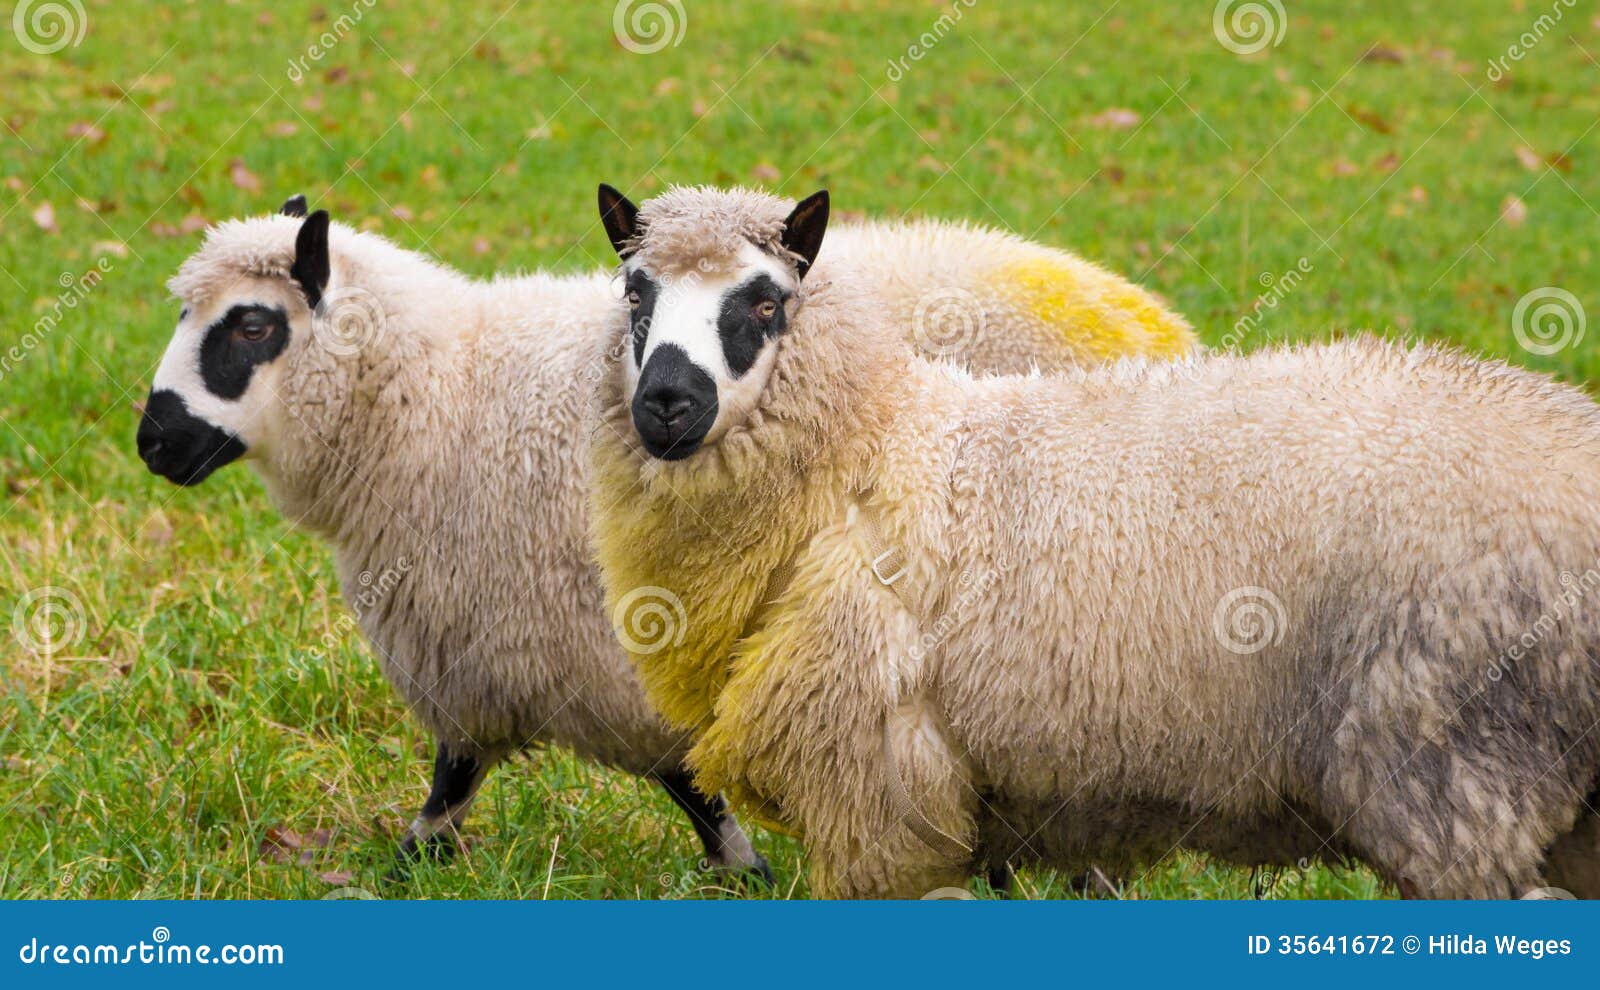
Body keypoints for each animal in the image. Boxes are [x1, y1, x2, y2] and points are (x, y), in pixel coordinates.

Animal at [135, 191, 1194, 884]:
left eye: (252, 326)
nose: (152, 442)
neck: (434, 394)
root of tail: (1157, 331)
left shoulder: (540, 639)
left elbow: (483, 775)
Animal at [588, 184, 1600, 899]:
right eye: (637, 293)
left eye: (764, 304)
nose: (666, 402)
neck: (876, 451)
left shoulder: (883, 804)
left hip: (1457, 775)